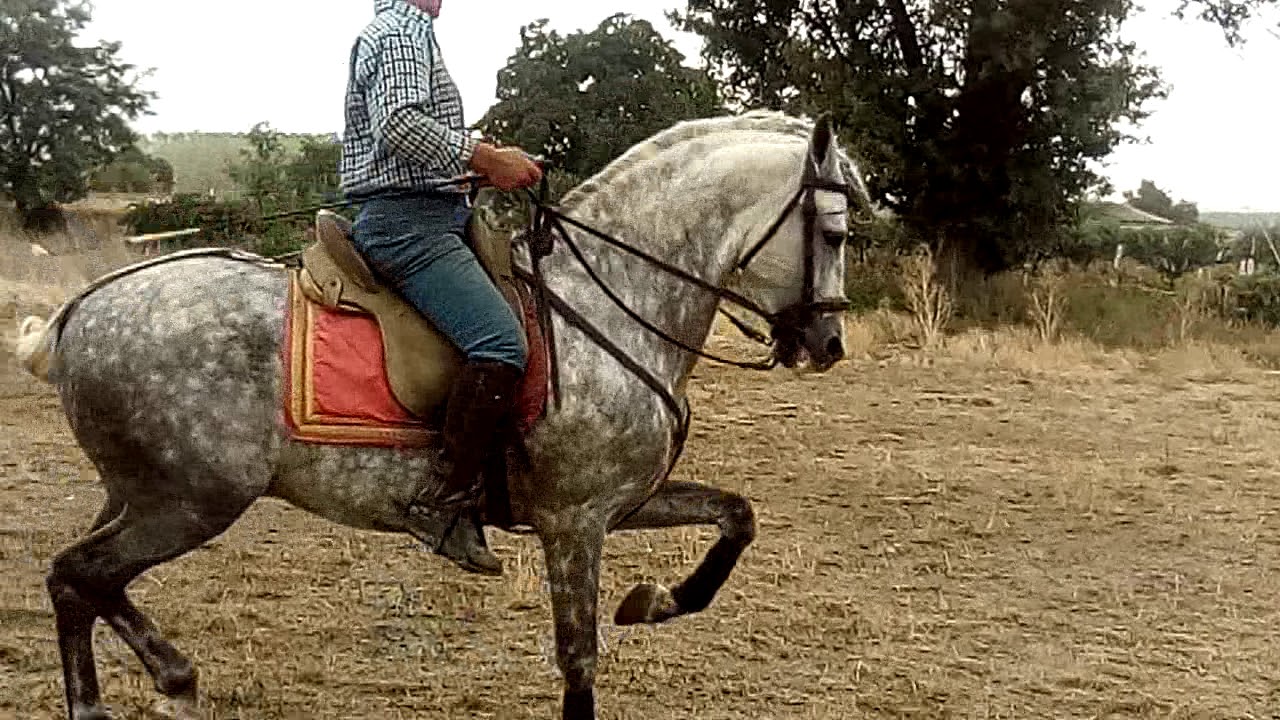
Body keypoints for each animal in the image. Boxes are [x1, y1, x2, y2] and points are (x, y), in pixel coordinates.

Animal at [13, 110, 868, 720]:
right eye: (833, 233)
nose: (827, 343)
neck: (608, 305)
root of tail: (81, 310)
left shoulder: (622, 500)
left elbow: (736, 517)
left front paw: (657, 601)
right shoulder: (574, 518)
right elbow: (579, 658)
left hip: (140, 493)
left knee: (80, 582)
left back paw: (155, 682)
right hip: (190, 501)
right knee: (78, 575)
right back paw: (146, 685)